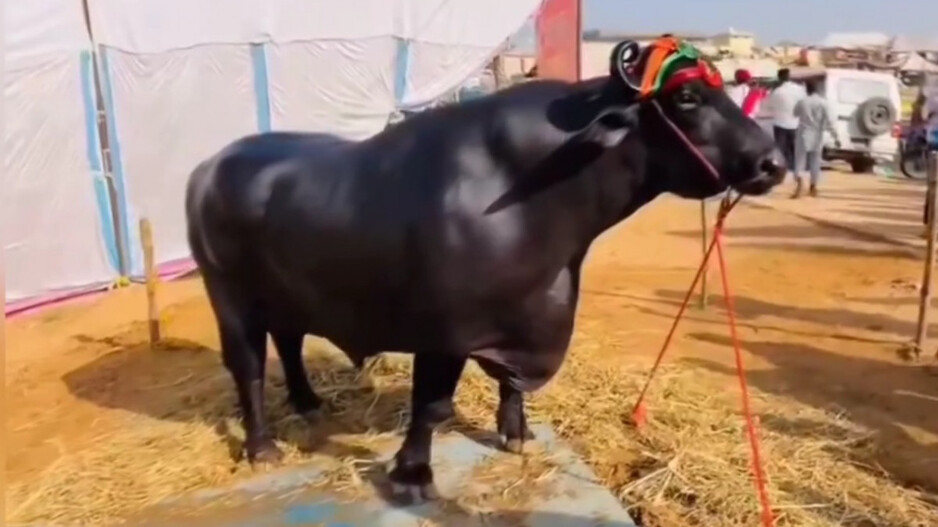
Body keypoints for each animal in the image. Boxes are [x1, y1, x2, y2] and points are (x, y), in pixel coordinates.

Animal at [186, 38, 785, 501]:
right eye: (686, 97)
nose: (772, 163)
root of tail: (208, 168)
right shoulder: (443, 333)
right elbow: (431, 407)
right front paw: (412, 476)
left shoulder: (523, 318)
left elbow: (511, 384)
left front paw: (516, 432)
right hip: (229, 299)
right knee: (248, 369)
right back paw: (262, 447)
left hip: (287, 296)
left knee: (288, 344)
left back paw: (309, 404)